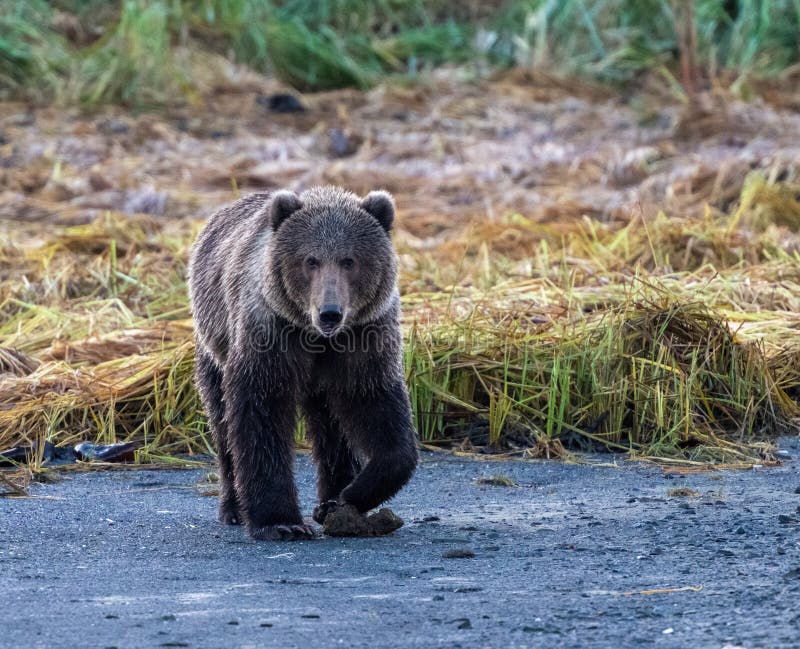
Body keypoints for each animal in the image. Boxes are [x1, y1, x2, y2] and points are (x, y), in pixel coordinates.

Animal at [188, 186, 418, 541]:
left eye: (349, 260)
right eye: (311, 260)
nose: (330, 312)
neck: (316, 338)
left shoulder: (363, 339)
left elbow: (377, 407)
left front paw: (347, 497)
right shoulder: (270, 334)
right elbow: (261, 413)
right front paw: (280, 521)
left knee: (331, 427)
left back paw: (333, 493)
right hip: (214, 341)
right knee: (221, 420)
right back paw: (233, 508)